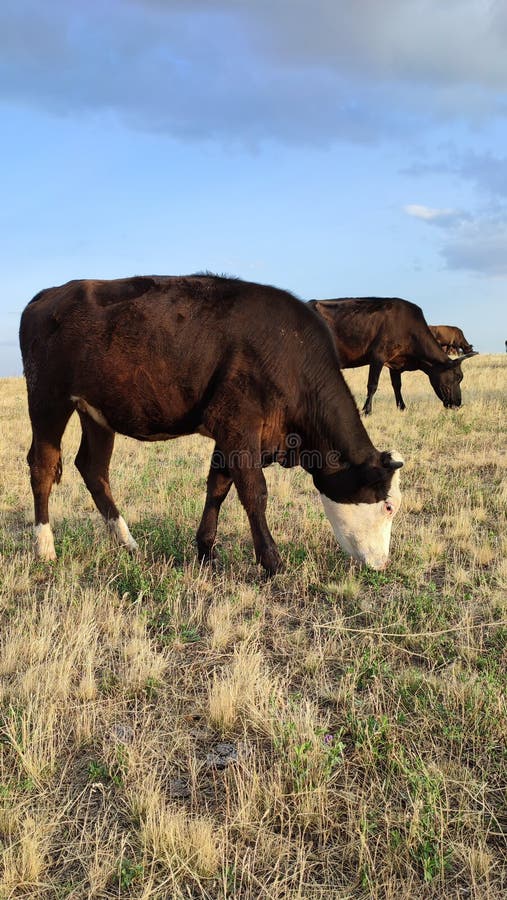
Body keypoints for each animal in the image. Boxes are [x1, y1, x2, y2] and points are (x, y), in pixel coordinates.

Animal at [19, 275, 403, 574]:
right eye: (388, 506)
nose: (383, 564)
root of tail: (51, 293)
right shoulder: (238, 423)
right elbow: (254, 492)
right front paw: (272, 562)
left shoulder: (230, 431)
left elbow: (218, 486)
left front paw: (206, 551)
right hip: (47, 399)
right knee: (42, 466)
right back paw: (45, 548)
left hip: (96, 413)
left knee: (93, 468)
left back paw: (127, 543)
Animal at [308, 297, 477, 415]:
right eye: (457, 377)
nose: (458, 403)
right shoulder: (377, 357)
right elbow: (372, 385)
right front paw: (367, 410)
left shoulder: (395, 364)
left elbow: (397, 385)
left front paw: (402, 407)